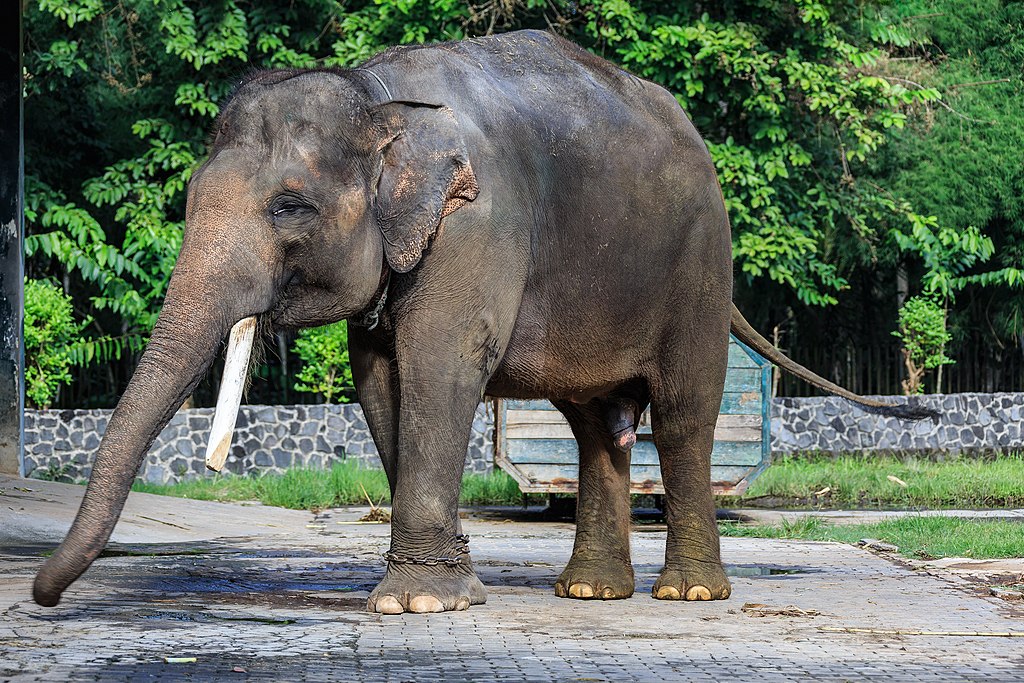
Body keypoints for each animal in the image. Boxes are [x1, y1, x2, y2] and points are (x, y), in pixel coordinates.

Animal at [32, 30, 932, 614]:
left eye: (290, 207)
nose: (44, 597)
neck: (380, 100)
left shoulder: (479, 228)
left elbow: (440, 362)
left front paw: (421, 603)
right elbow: (381, 379)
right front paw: (448, 586)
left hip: (700, 265)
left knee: (681, 414)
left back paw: (687, 593)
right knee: (596, 424)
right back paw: (591, 591)